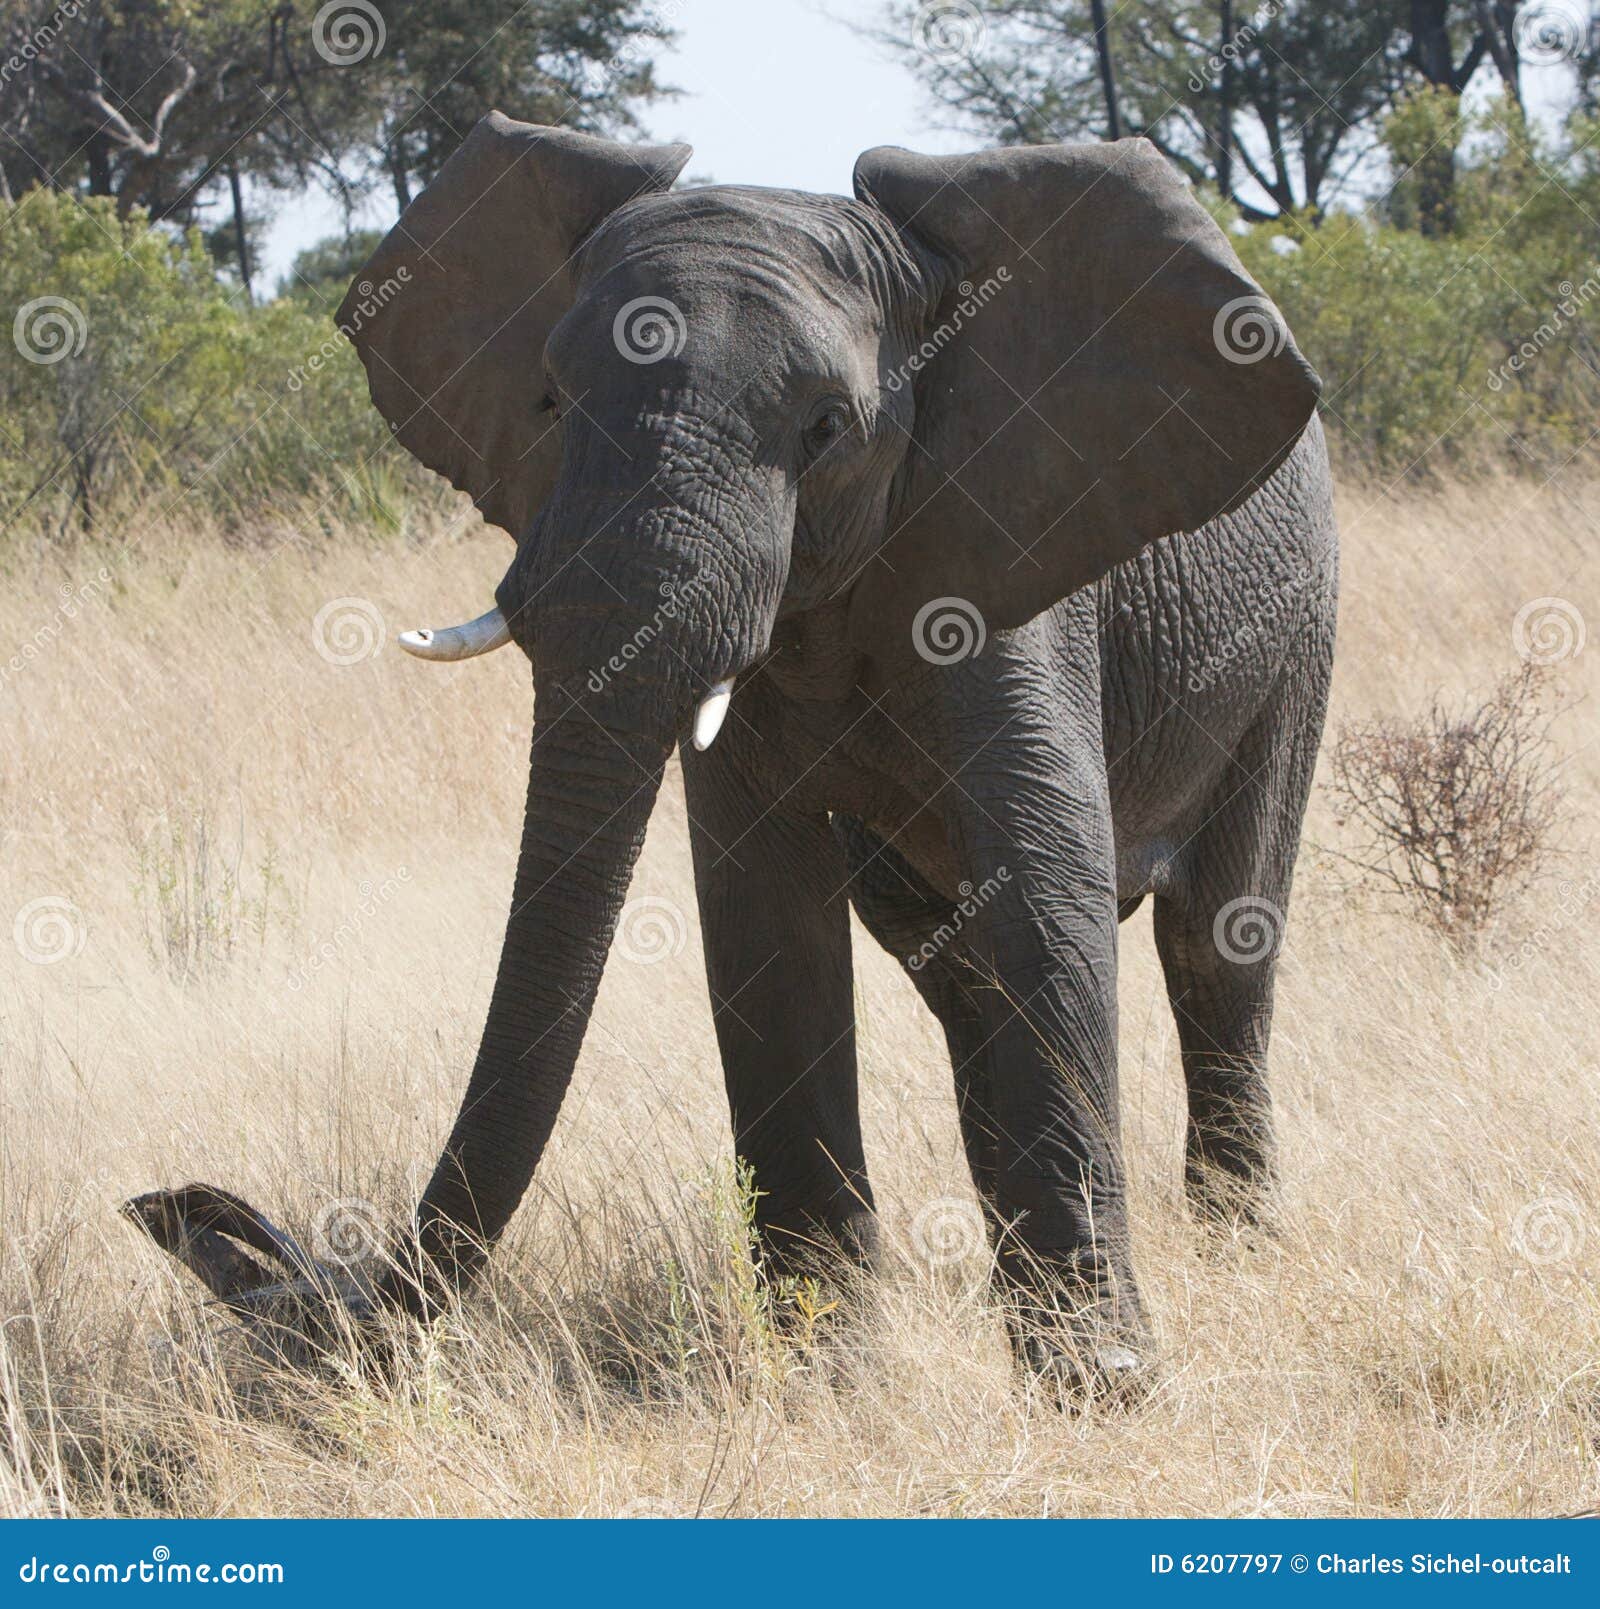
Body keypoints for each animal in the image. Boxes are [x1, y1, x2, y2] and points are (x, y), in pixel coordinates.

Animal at [333, 112, 1336, 1394]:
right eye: (549, 402)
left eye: (825, 431)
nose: (351, 1325)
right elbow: (764, 919)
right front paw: (835, 1369)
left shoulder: (1005, 553)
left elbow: (1043, 891)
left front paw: (1101, 1384)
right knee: (955, 969)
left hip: (1296, 632)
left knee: (1216, 940)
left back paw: (1236, 1241)